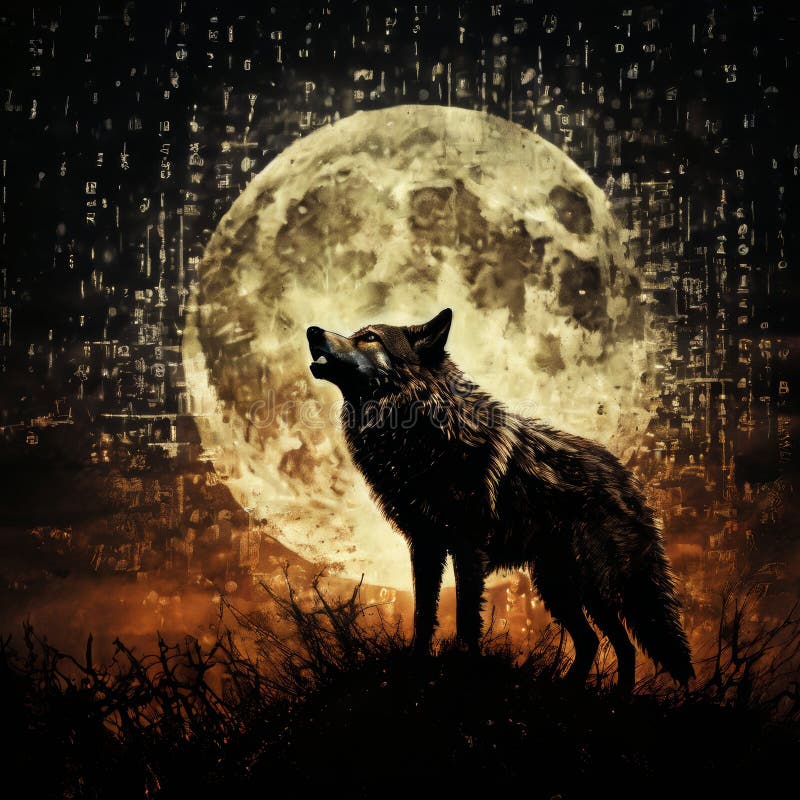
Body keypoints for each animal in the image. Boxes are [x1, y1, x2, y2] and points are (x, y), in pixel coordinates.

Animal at [307, 309, 694, 690]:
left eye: (369, 337)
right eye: (357, 333)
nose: (312, 330)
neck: (421, 432)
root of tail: (628, 478)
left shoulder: (467, 547)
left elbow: (465, 618)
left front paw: (463, 672)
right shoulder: (426, 544)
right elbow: (423, 614)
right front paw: (416, 669)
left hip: (596, 585)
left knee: (625, 645)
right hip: (559, 586)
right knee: (594, 642)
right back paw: (567, 691)